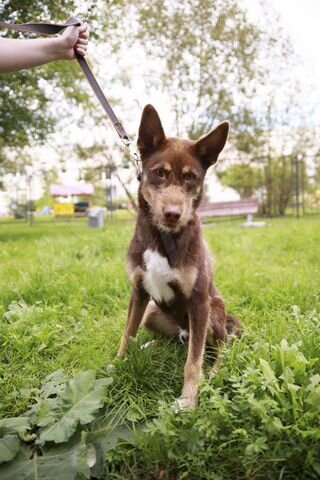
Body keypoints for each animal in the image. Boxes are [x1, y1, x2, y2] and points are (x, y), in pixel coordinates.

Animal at [117, 105, 240, 408]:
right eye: (159, 173)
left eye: (190, 177)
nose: (172, 213)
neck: (164, 238)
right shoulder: (139, 291)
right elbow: (127, 333)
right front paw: (116, 365)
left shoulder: (199, 302)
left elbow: (193, 362)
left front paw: (188, 401)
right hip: (153, 312)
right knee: (174, 341)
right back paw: (151, 345)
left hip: (215, 310)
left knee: (219, 347)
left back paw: (215, 372)